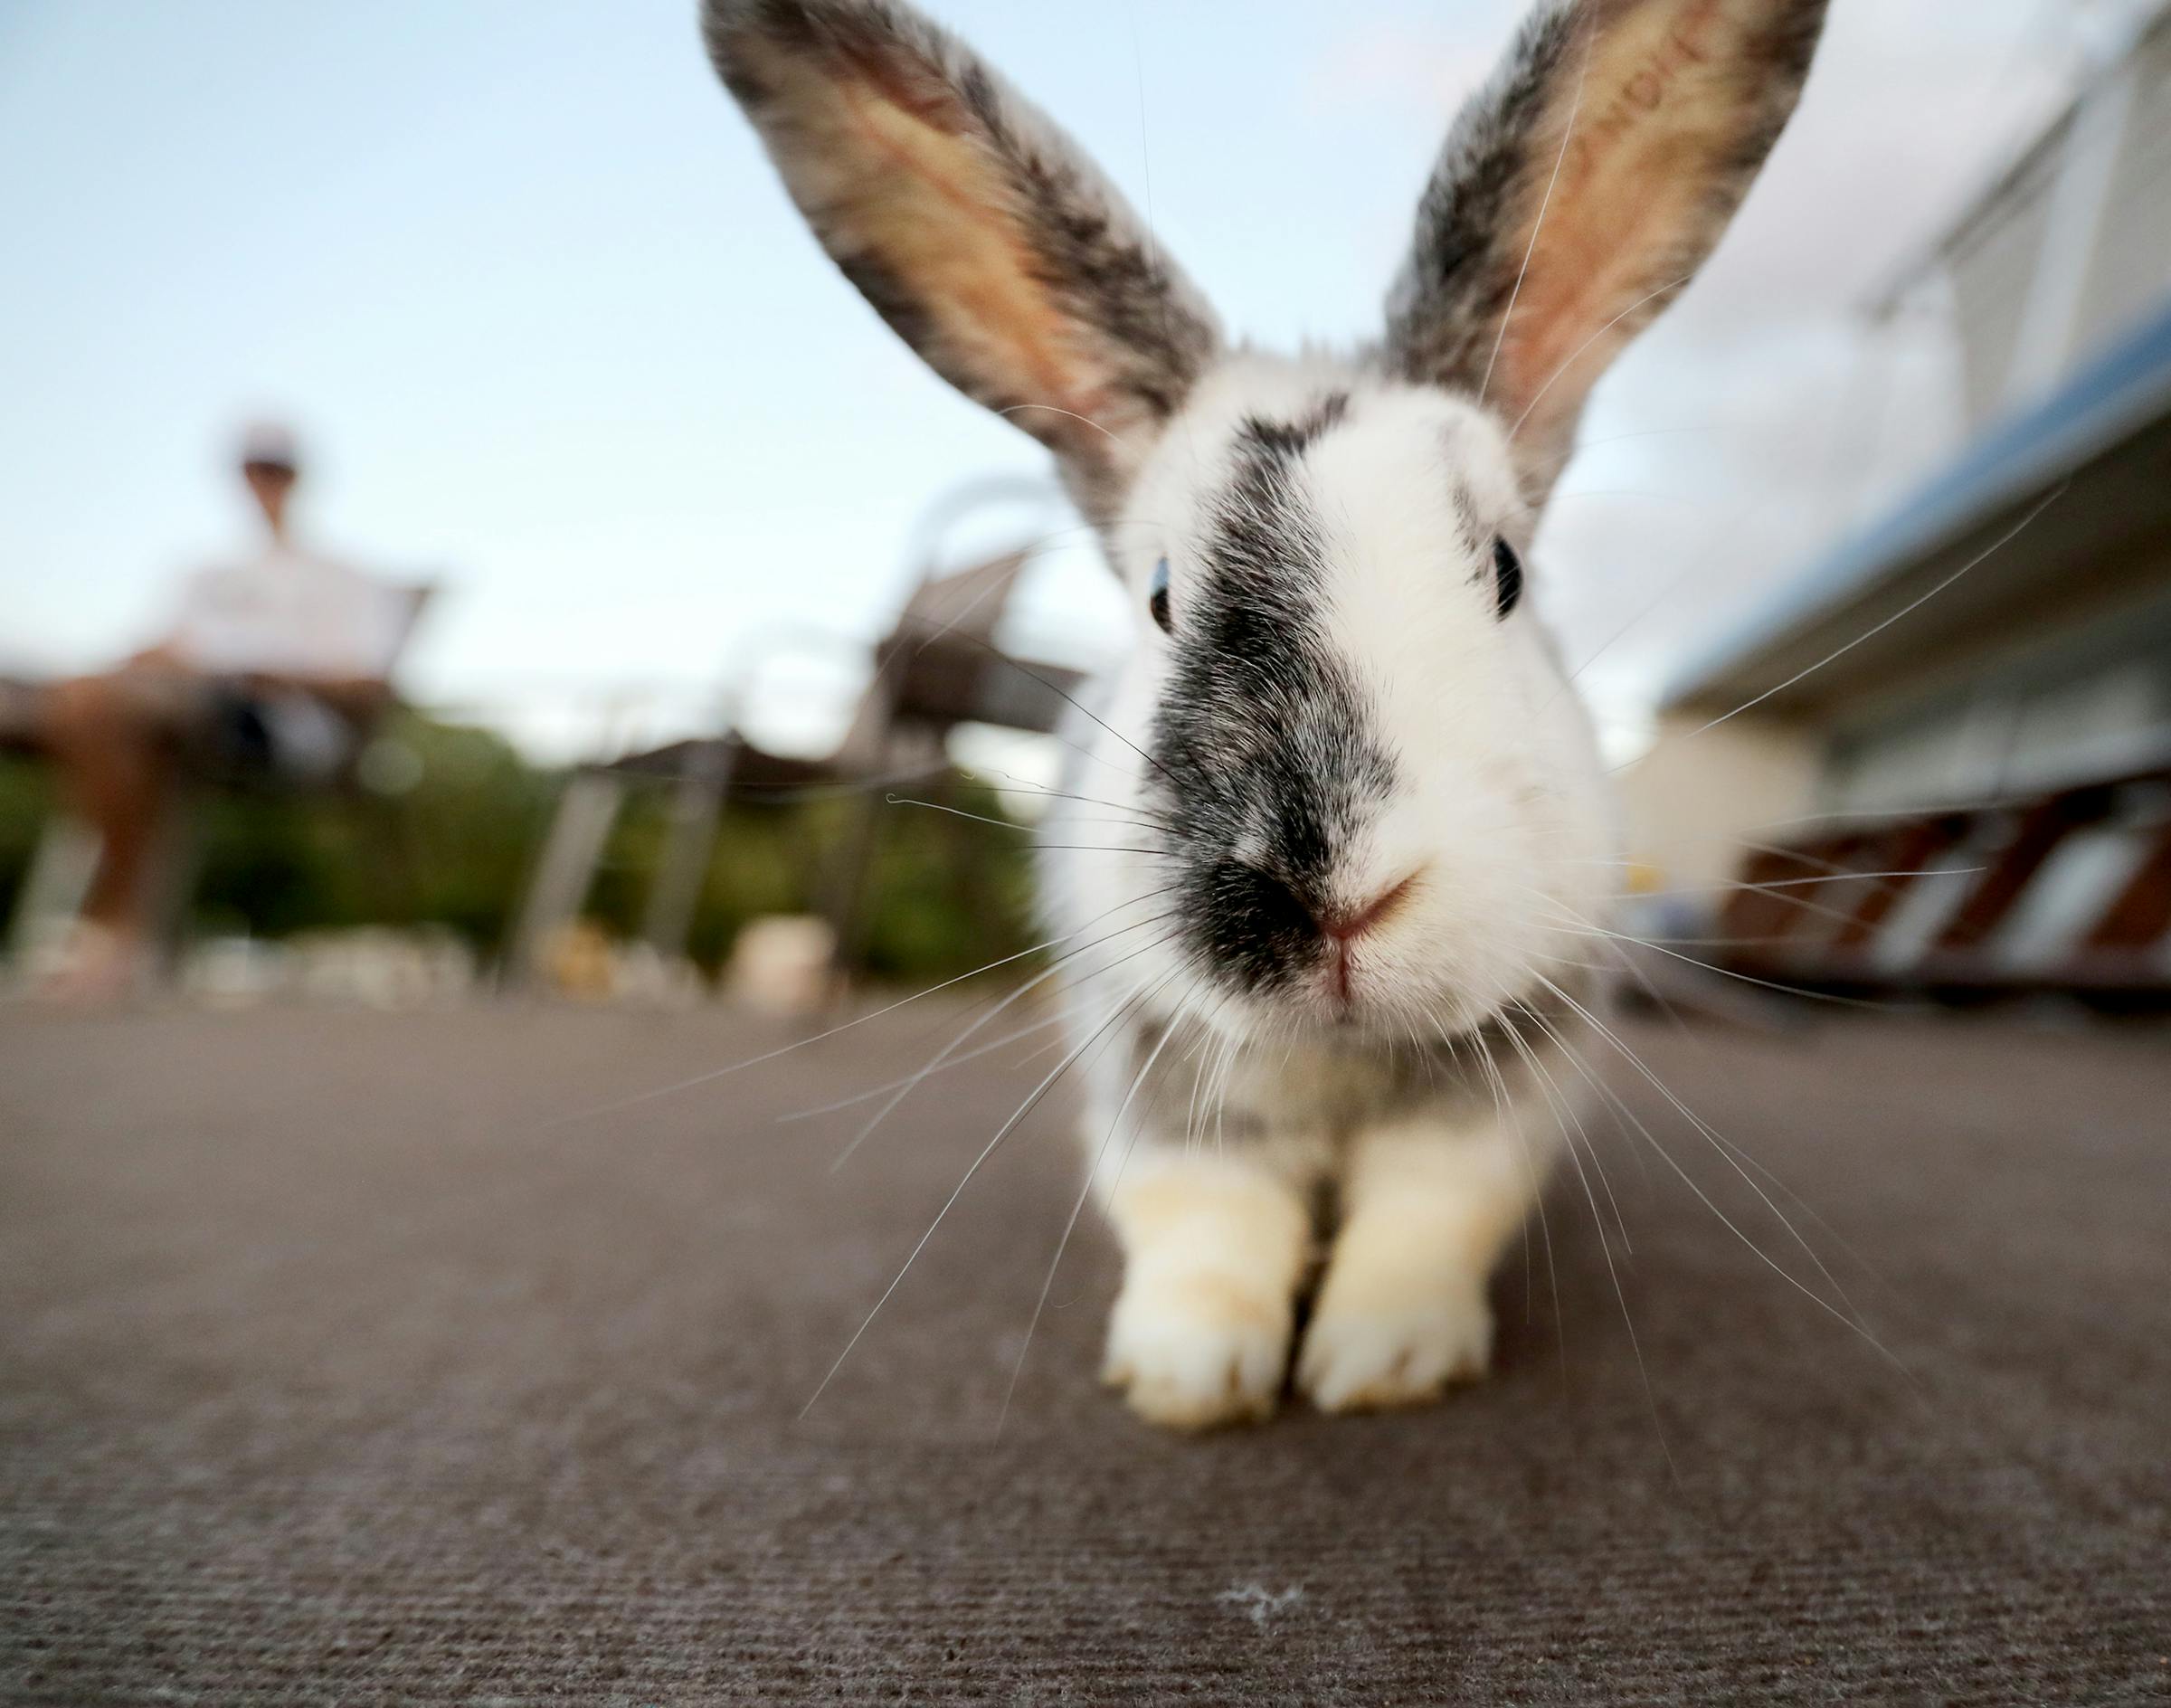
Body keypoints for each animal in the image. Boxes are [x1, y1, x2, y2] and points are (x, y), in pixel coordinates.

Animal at [705, 0, 1827, 1429]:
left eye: (1506, 573)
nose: (1332, 896)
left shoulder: (1496, 1094)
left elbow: (1427, 1221)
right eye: (1160, 596)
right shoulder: (1158, 1089)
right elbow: (1206, 1229)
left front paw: (1382, 1365)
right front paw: (1191, 1380)